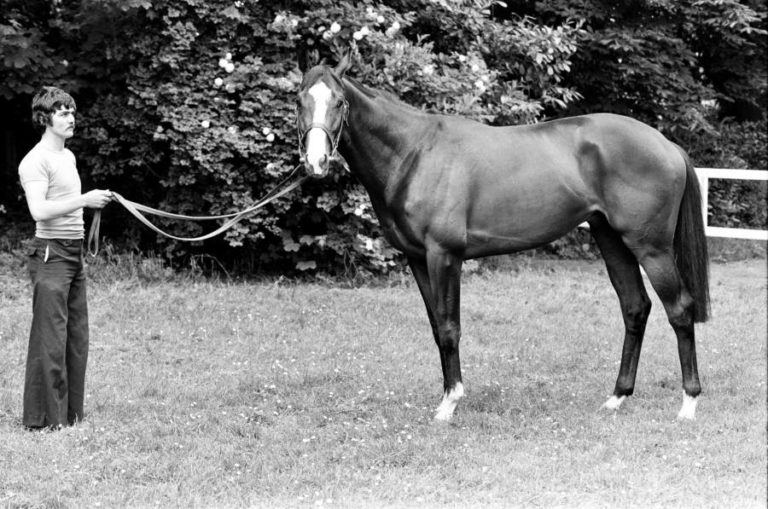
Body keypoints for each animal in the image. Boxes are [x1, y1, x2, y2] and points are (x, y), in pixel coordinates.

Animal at [295, 55, 710, 421]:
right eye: (300, 100)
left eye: (340, 101)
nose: (315, 162)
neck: (414, 154)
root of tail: (667, 145)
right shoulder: (417, 259)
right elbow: (437, 327)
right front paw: (446, 396)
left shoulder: (444, 255)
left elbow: (450, 328)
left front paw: (450, 404)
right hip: (612, 240)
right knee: (635, 308)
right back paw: (617, 398)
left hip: (651, 248)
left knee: (679, 309)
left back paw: (688, 403)